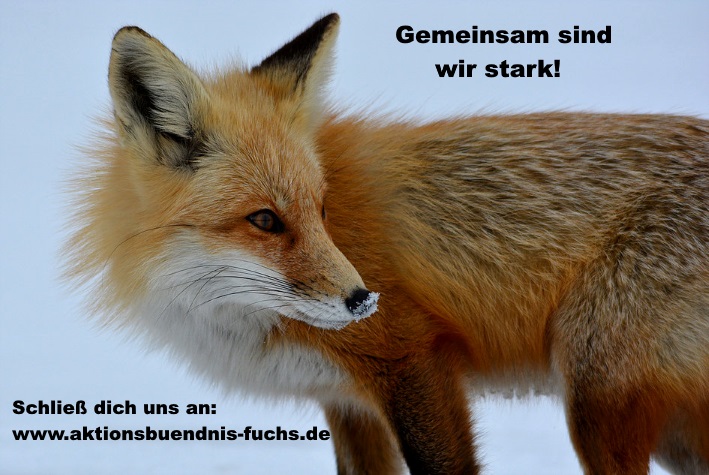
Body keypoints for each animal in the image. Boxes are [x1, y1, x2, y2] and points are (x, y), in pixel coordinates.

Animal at [64, 13, 709, 475]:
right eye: (265, 220)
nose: (362, 301)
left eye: (321, 209)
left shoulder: (412, 361)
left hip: (597, 401)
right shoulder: (346, 403)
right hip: (671, 434)